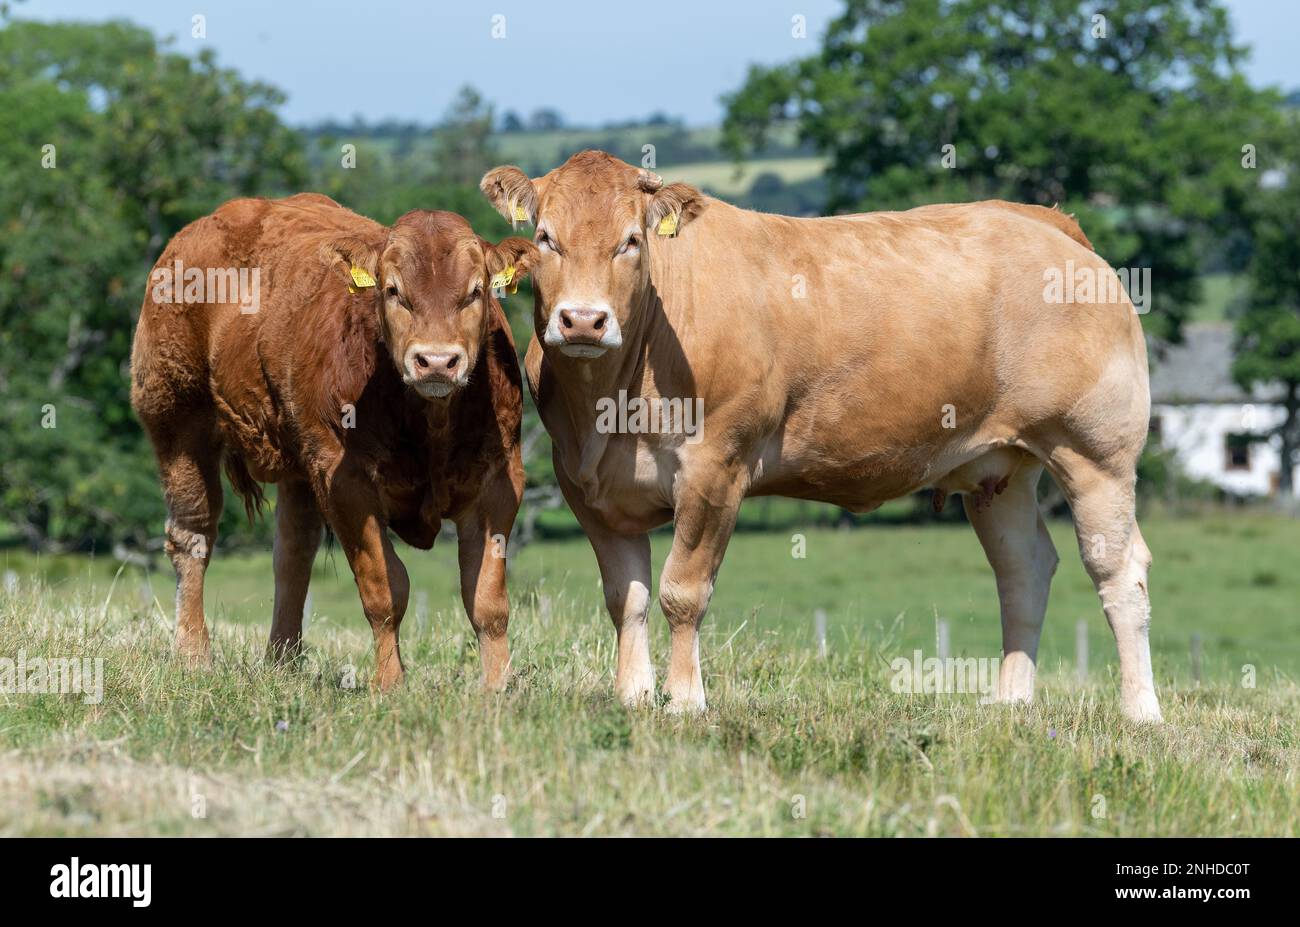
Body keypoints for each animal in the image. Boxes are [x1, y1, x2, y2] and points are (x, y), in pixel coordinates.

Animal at [131, 193, 535, 691]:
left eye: (476, 291)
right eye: (392, 290)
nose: (437, 361)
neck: (430, 425)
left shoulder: (499, 480)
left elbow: (486, 599)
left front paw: (497, 687)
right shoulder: (345, 482)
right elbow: (385, 588)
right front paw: (390, 684)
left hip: (300, 459)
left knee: (292, 553)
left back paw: (283, 661)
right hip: (176, 420)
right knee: (192, 537)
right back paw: (192, 655)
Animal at [481, 150, 1162, 722]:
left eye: (630, 241)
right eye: (545, 238)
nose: (583, 320)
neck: (611, 402)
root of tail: (1041, 219)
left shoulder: (715, 468)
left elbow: (682, 592)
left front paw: (685, 702)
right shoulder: (586, 487)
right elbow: (627, 597)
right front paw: (633, 696)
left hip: (1096, 452)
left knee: (1118, 570)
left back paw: (1140, 711)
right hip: (1002, 468)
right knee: (1023, 569)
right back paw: (1010, 704)